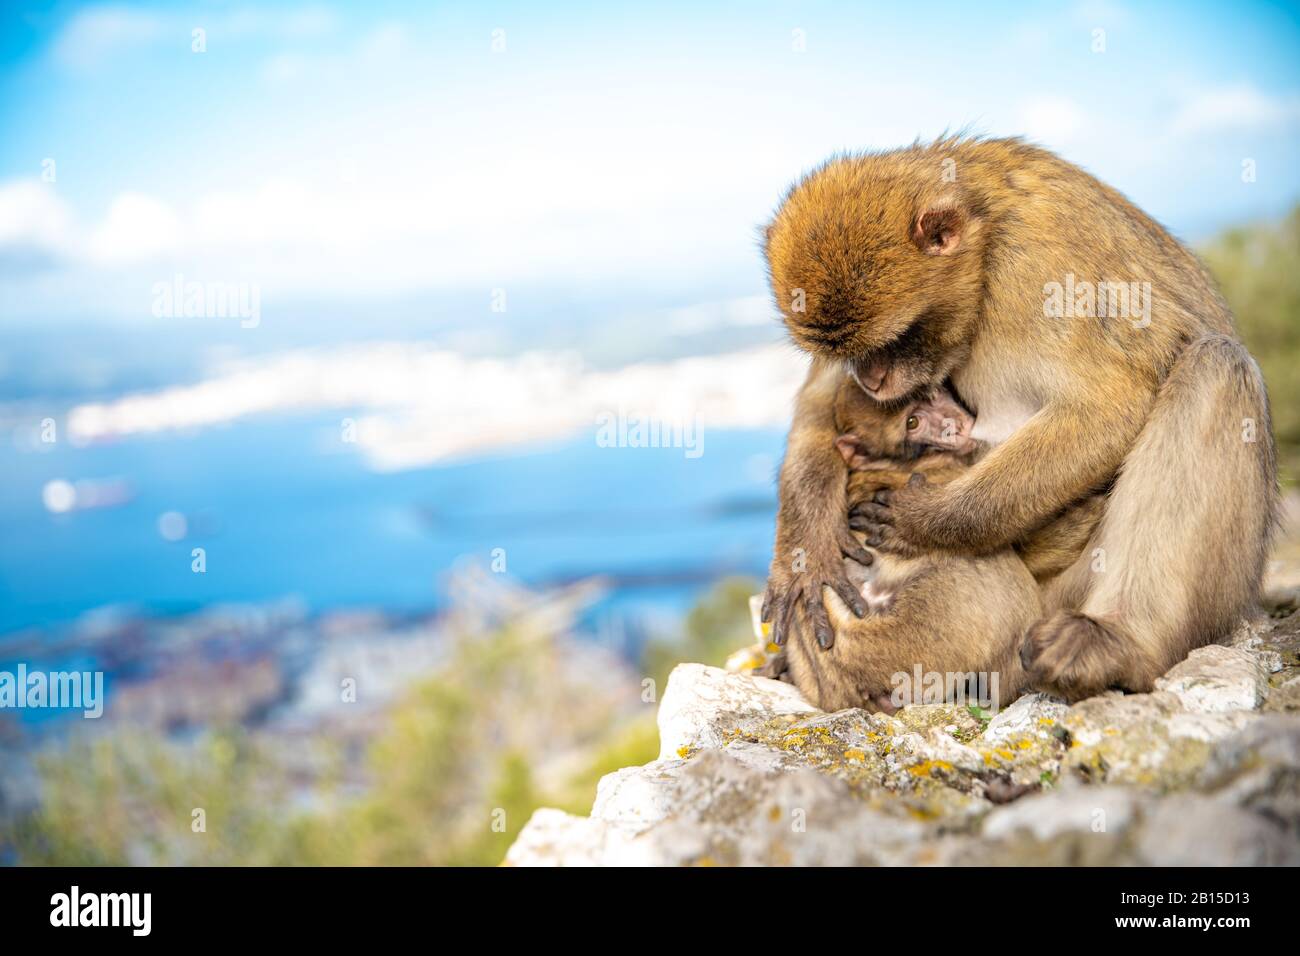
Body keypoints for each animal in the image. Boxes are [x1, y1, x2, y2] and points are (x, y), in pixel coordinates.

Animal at [761, 135, 1277, 702]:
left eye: (894, 340)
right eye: (852, 351)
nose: (870, 379)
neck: (986, 242)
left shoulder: (1044, 263)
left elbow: (1110, 405)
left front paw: (924, 521)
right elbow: (821, 401)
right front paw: (808, 555)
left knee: (1217, 367)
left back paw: (1117, 642)